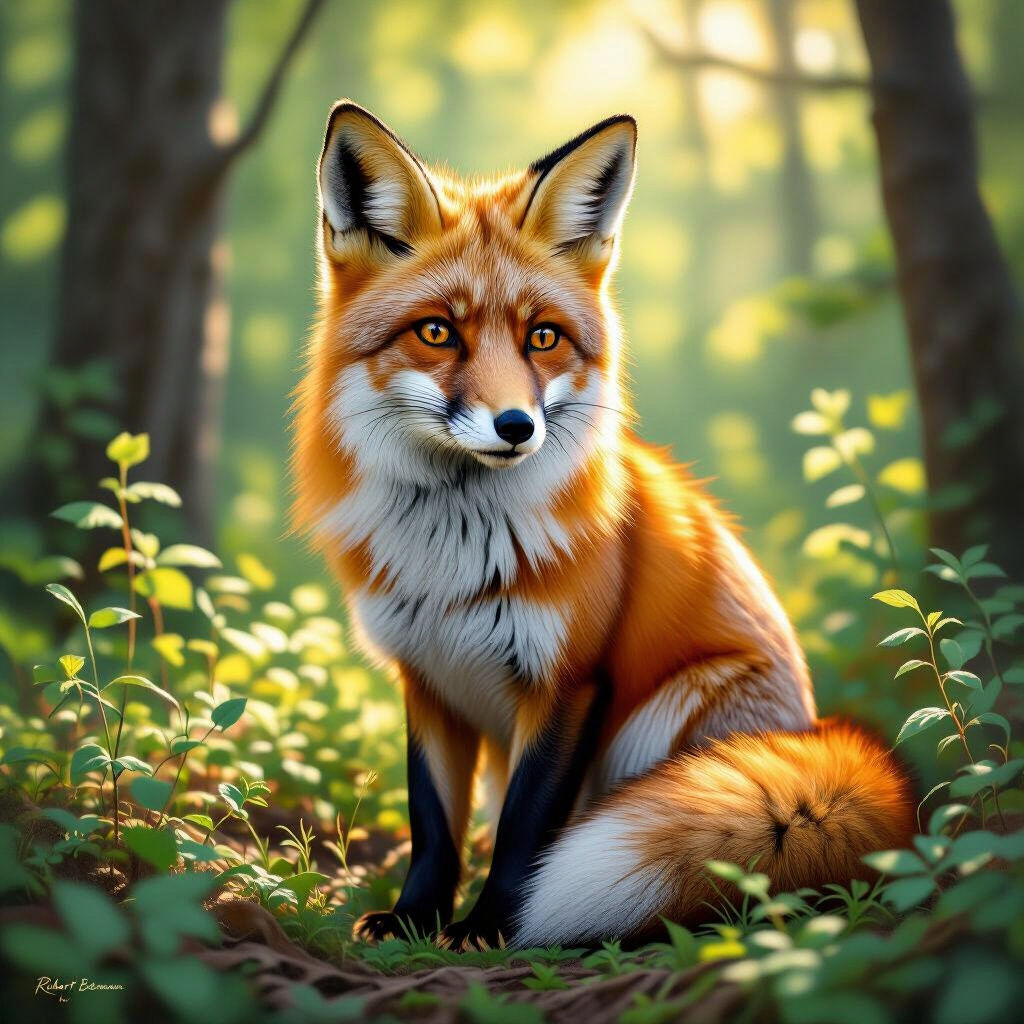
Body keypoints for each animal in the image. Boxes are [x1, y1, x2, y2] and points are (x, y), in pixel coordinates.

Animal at [291, 101, 914, 951]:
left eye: (543, 337)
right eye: (437, 332)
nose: (516, 427)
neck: (451, 553)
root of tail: (813, 730)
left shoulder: (571, 680)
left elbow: (525, 830)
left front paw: (494, 926)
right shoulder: (427, 677)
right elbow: (434, 825)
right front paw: (416, 918)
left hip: (672, 713)